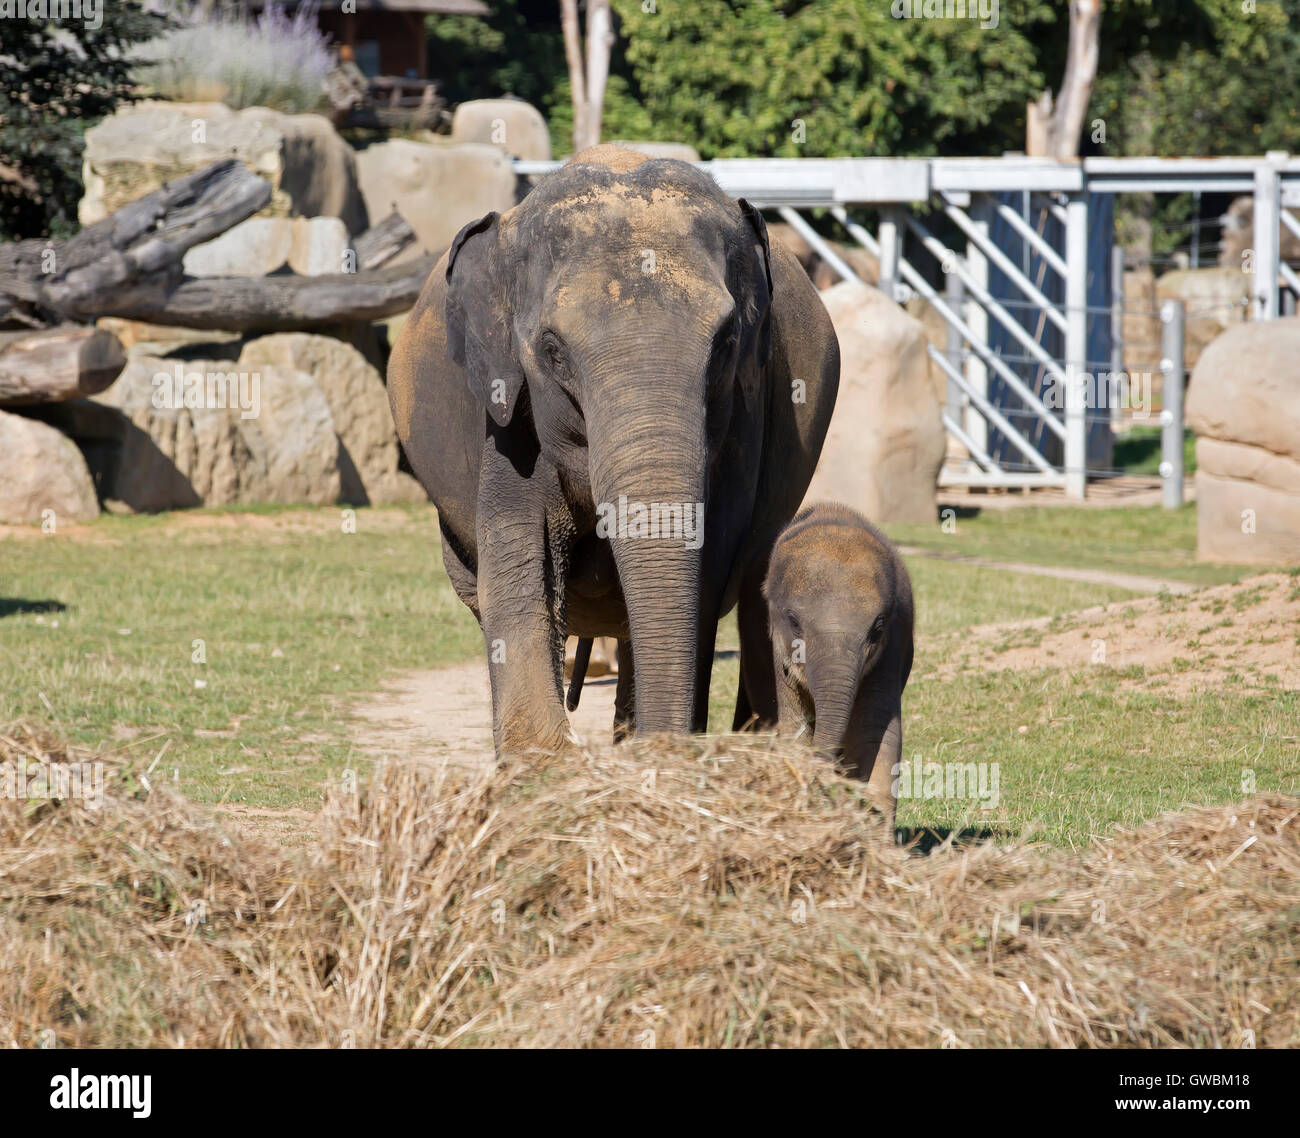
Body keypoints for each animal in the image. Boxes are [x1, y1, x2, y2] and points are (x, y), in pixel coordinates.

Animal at [387, 144, 839, 754]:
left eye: (725, 343)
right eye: (552, 351)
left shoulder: (747, 415)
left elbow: (710, 561)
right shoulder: (507, 414)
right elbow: (518, 557)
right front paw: (541, 761)